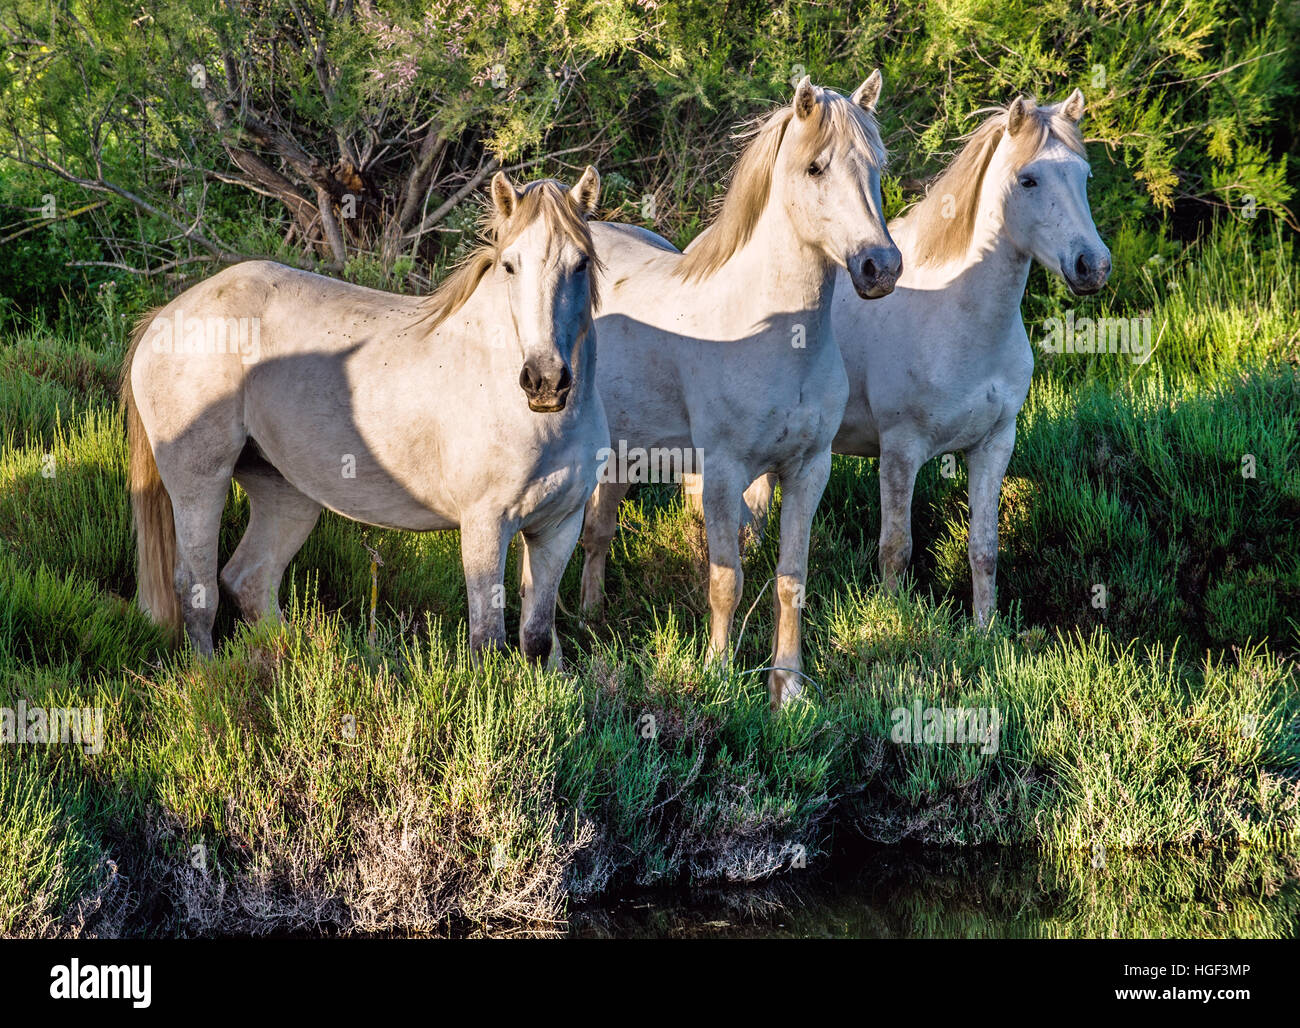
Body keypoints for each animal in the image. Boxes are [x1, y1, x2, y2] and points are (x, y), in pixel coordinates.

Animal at [122, 168, 607, 665]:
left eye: (581, 263)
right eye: (510, 266)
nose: (544, 380)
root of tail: (165, 315)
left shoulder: (558, 527)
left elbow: (538, 637)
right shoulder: (486, 526)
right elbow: (487, 639)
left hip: (285, 491)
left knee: (249, 580)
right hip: (200, 482)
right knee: (196, 588)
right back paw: (208, 674)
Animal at [577, 74, 902, 710]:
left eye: (877, 166)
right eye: (815, 167)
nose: (881, 267)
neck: (771, 332)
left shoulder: (807, 469)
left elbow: (791, 578)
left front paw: (788, 687)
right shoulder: (723, 472)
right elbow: (726, 579)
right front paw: (718, 674)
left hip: (625, 448)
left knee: (598, 532)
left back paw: (590, 615)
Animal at [735, 91, 1111, 626]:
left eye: (1085, 176)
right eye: (1028, 179)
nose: (1092, 266)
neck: (958, 319)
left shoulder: (994, 444)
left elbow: (984, 549)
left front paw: (985, 630)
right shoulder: (900, 450)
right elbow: (896, 548)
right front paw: (895, 622)